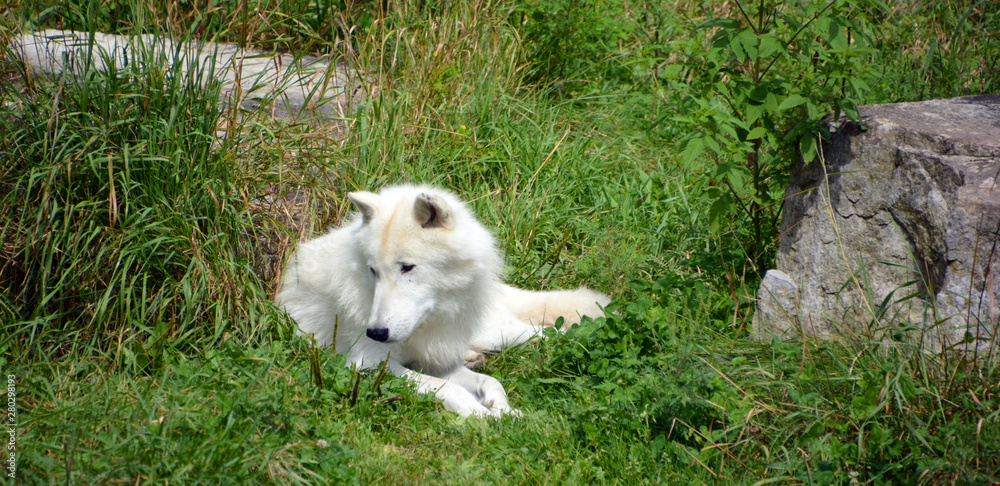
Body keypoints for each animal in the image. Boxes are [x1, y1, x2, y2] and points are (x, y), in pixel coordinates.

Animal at [276, 185, 610, 417]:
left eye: (407, 267)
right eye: (374, 271)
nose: (376, 332)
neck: (427, 323)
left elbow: (490, 382)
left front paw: (501, 409)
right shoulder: (369, 363)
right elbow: (456, 388)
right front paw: (486, 414)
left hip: (497, 332)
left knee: (549, 332)